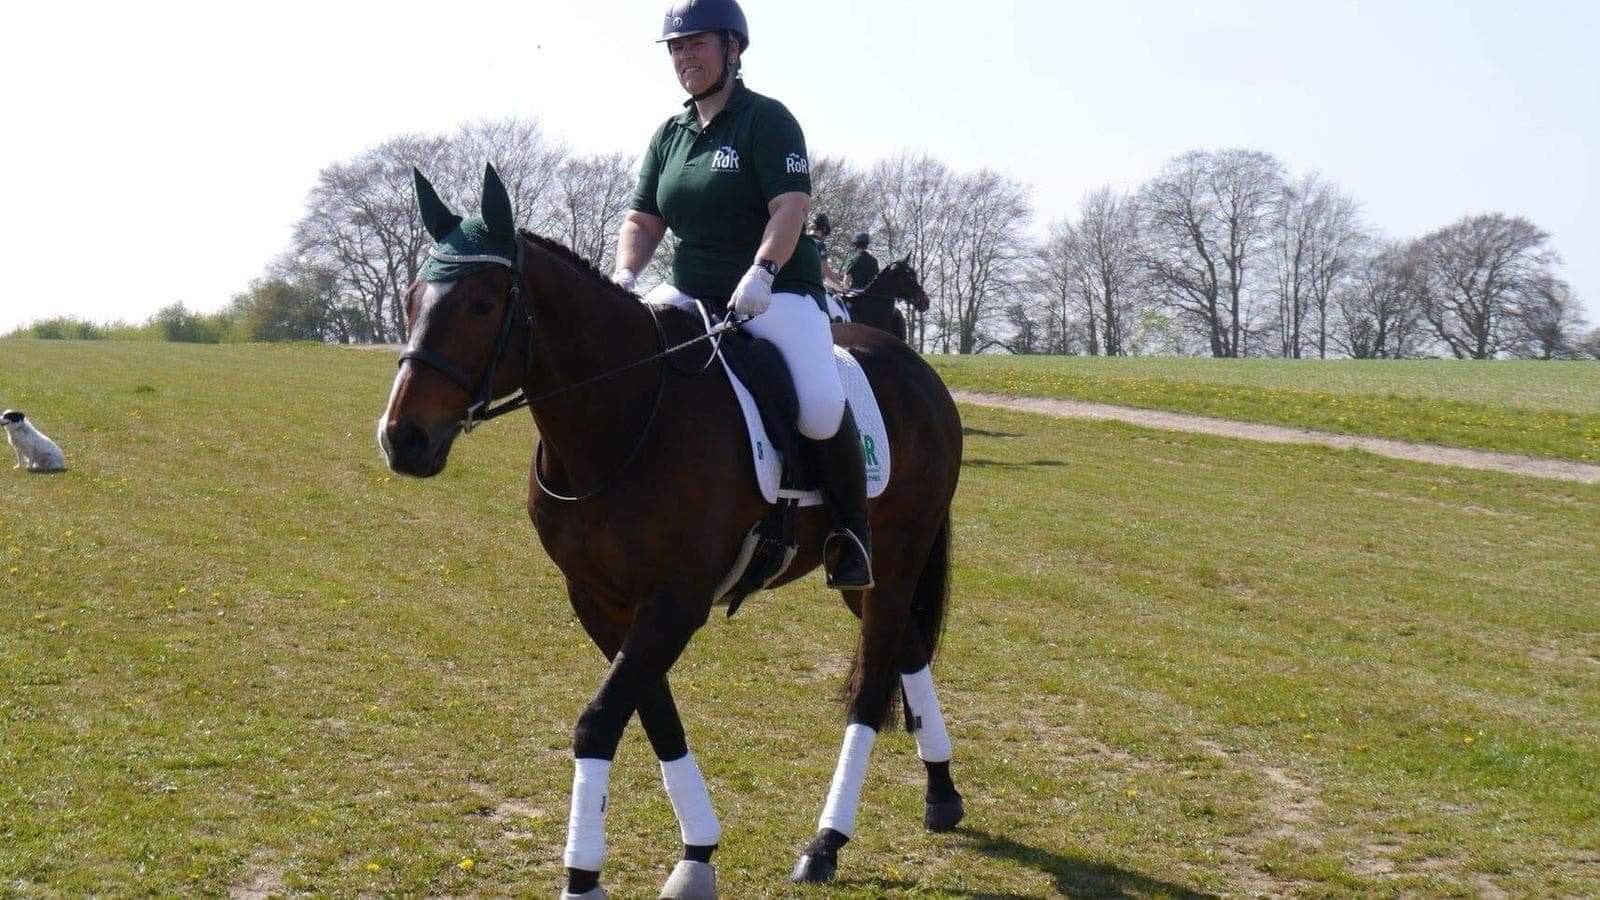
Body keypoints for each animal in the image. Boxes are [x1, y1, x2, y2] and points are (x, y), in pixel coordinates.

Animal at [379, 165, 965, 899]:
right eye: (411, 297)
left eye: (483, 304)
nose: (403, 438)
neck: (623, 416)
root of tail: (917, 368)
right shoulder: (600, 600)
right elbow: (653, 713)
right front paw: (697, 853)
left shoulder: (676, 601)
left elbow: (600, 720)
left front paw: (583, 876)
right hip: (866, 578)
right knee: (907, 647)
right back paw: (941, 793)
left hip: (894, 554)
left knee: (873, 679)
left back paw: (827, 841)